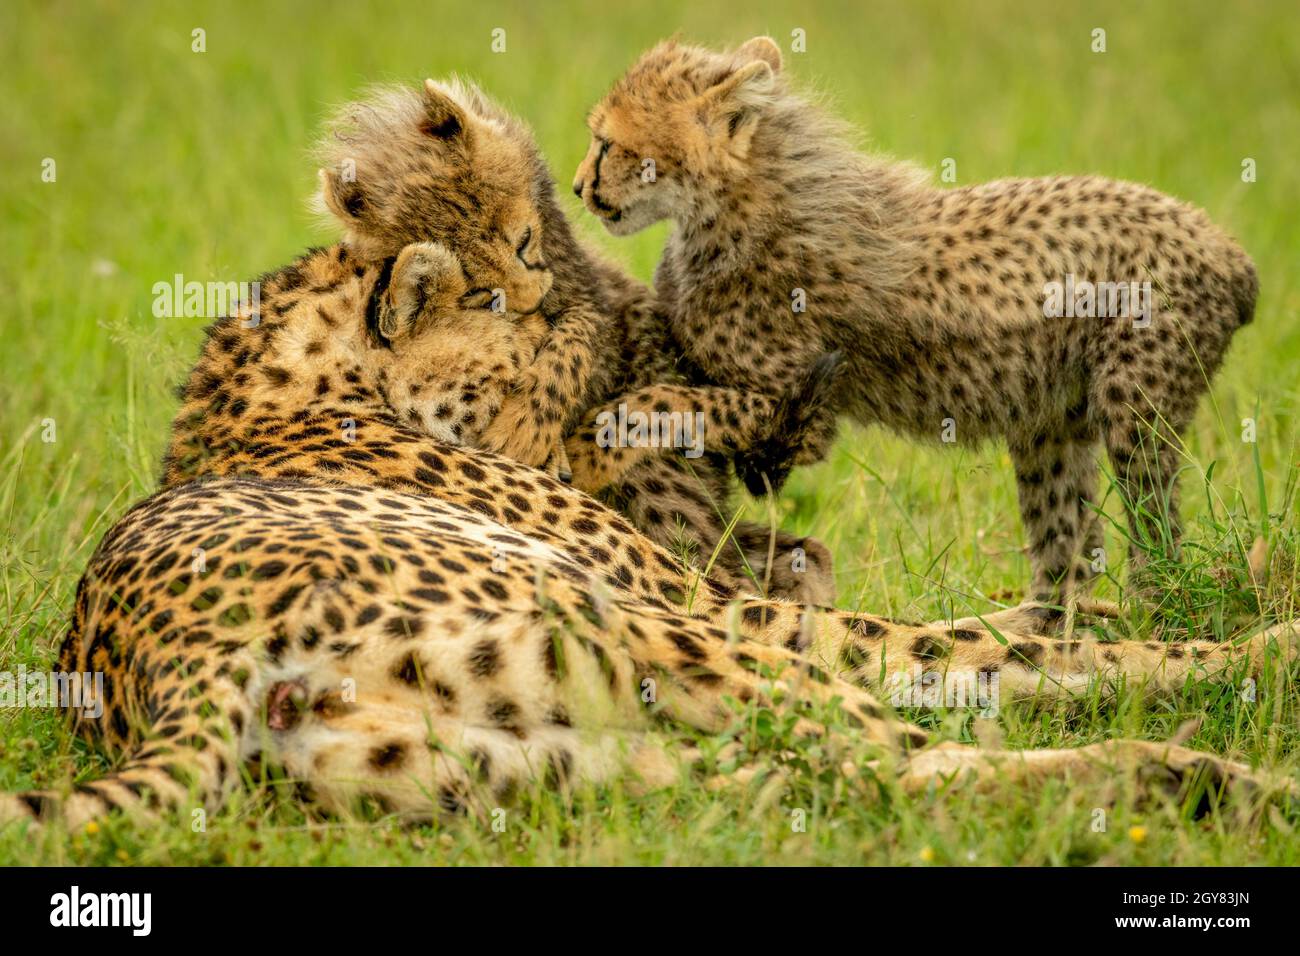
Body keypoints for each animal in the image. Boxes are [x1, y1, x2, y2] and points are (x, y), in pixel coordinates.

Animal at [311, 77, 842, 603]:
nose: (533, 298)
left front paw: (526, 427)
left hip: (656, 481)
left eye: (523, 241)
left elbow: (573, 343)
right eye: (480, 289)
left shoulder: (591, 302)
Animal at [573, 36, 1261, 605]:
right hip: (1050, 422)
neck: (726, 209)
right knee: (1069, 552)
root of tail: (1230, 250)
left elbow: (653, 402)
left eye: (607, 144)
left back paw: (1145, 618)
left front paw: (593, 441)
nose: (580, 187)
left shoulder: (799, 409)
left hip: (1134, 410)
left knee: (1158, 539)